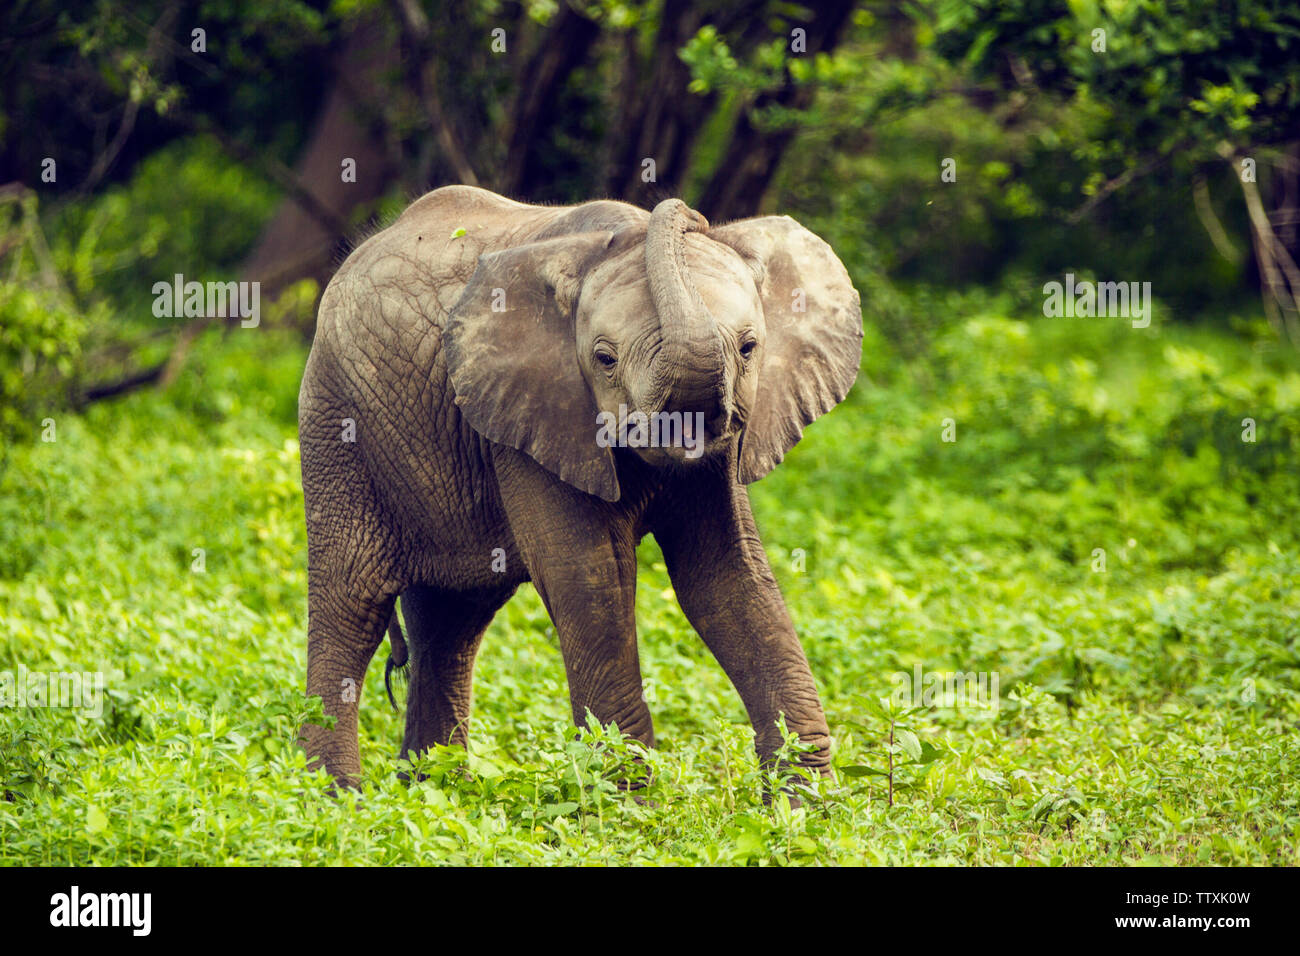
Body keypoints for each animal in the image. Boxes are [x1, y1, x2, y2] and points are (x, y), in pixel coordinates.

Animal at [297, 185, 862, 789]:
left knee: (451, 622)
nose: (687, 213)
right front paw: (626, 802)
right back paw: (335, 800)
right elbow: (588, 577)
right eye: (604, 359)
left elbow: (726, 577)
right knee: (352, 606)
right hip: (335, 423)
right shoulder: (532, 419)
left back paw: (433, 794)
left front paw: (803, 806)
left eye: (750, 347)